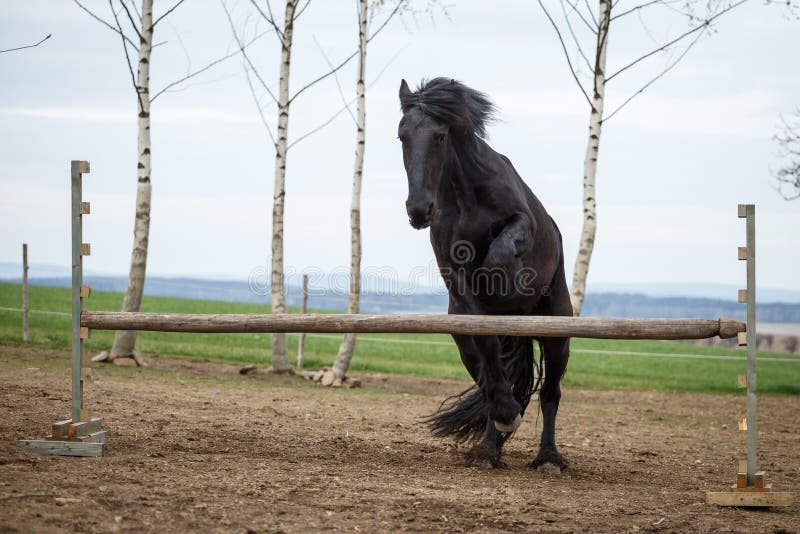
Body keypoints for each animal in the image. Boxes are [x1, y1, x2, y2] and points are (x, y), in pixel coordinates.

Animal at [397, 78, 572, 470]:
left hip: (557, 333)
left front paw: (503, 279)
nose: (418, 210)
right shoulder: (454, 273)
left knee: (551, 393)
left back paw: (548, 456)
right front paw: (507, 415)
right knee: (491, 381)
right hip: (465, 346)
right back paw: (490, 446)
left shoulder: (523, 223)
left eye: (440, 137)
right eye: (402, 136)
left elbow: (503, 249)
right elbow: (489, 341)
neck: (466, 195)